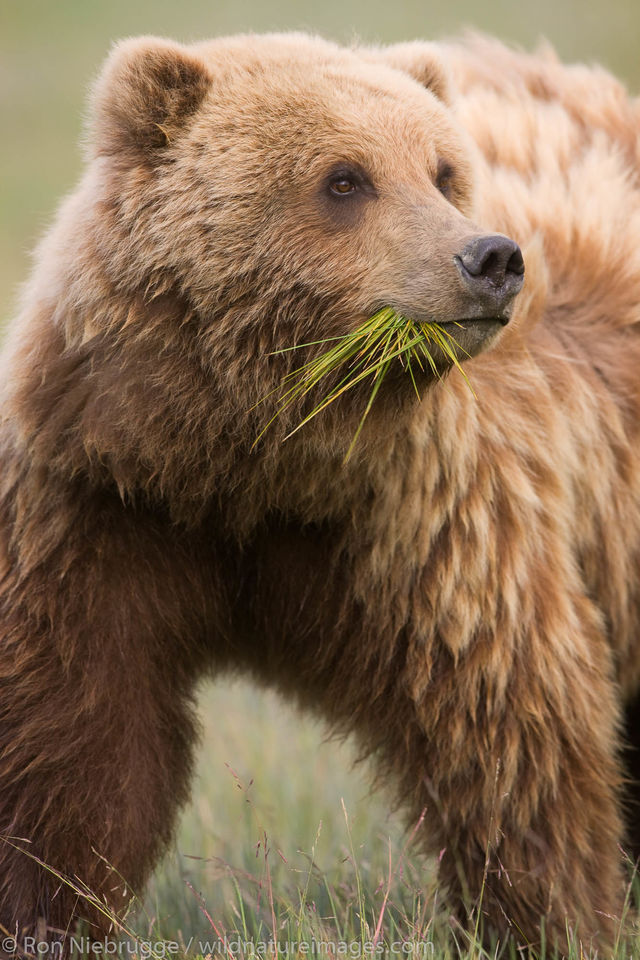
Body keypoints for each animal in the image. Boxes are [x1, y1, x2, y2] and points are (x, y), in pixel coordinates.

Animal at [2, 29, 640, 955]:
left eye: (444, 170)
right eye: (345, 178)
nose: (491, 258)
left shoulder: (426, 523)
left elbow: (509, 733)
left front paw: (552, 922)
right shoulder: (102, 504)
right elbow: (75, 739)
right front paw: (50, 912)